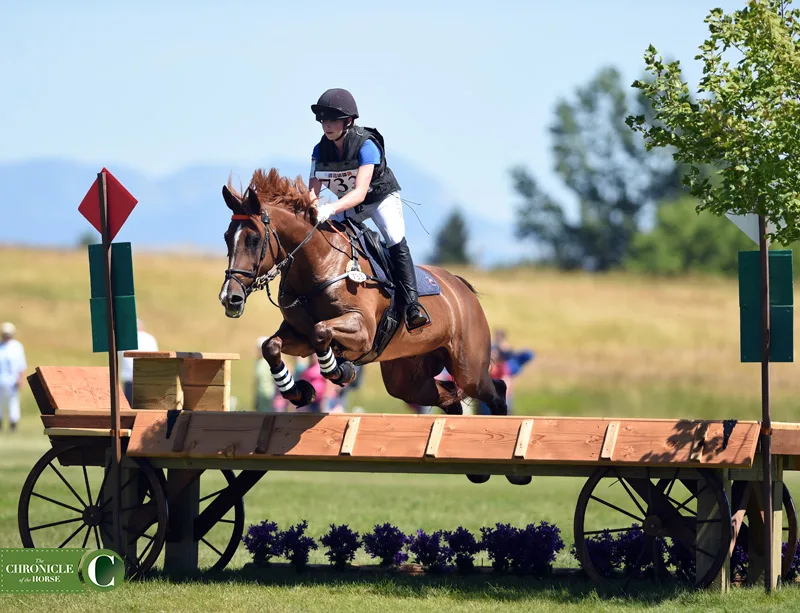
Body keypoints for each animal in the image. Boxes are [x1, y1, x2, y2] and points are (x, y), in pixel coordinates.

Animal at [218, 168, 509, 421]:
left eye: (254, 240)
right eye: (226, 237)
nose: (230, 298)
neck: (320, 263)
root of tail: (462, 288)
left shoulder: (362, 329)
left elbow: (321, 331)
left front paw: (340, 371)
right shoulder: (299, 334)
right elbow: (271, 346)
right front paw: (298, 391)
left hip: (468, 367)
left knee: (495, 390)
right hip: (406, 378)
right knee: (448, 397)